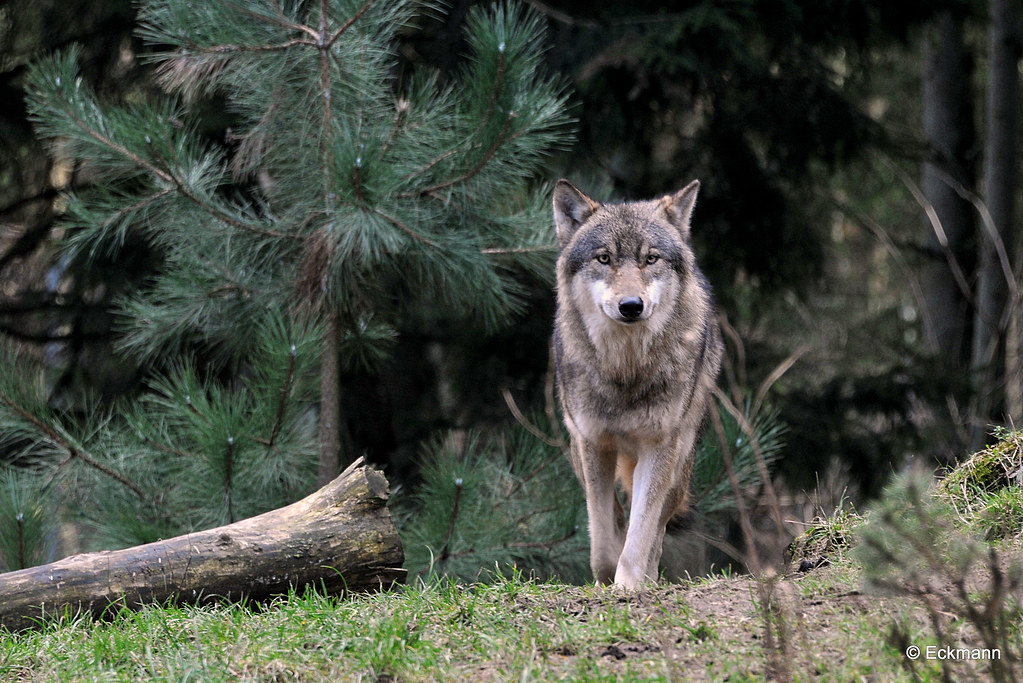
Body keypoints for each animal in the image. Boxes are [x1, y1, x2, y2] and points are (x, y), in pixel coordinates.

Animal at [552, 179, 723, 590]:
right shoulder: (593, 444)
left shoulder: (658, 446)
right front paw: (605, 579)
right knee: (613, 513)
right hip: (579, 453)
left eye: (650, 259)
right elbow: (601, 538)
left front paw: (629, 586)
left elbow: (641, 531)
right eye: (603, 259)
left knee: (657, 526)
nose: (631, 305)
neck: (626, 369)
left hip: (679, 464)